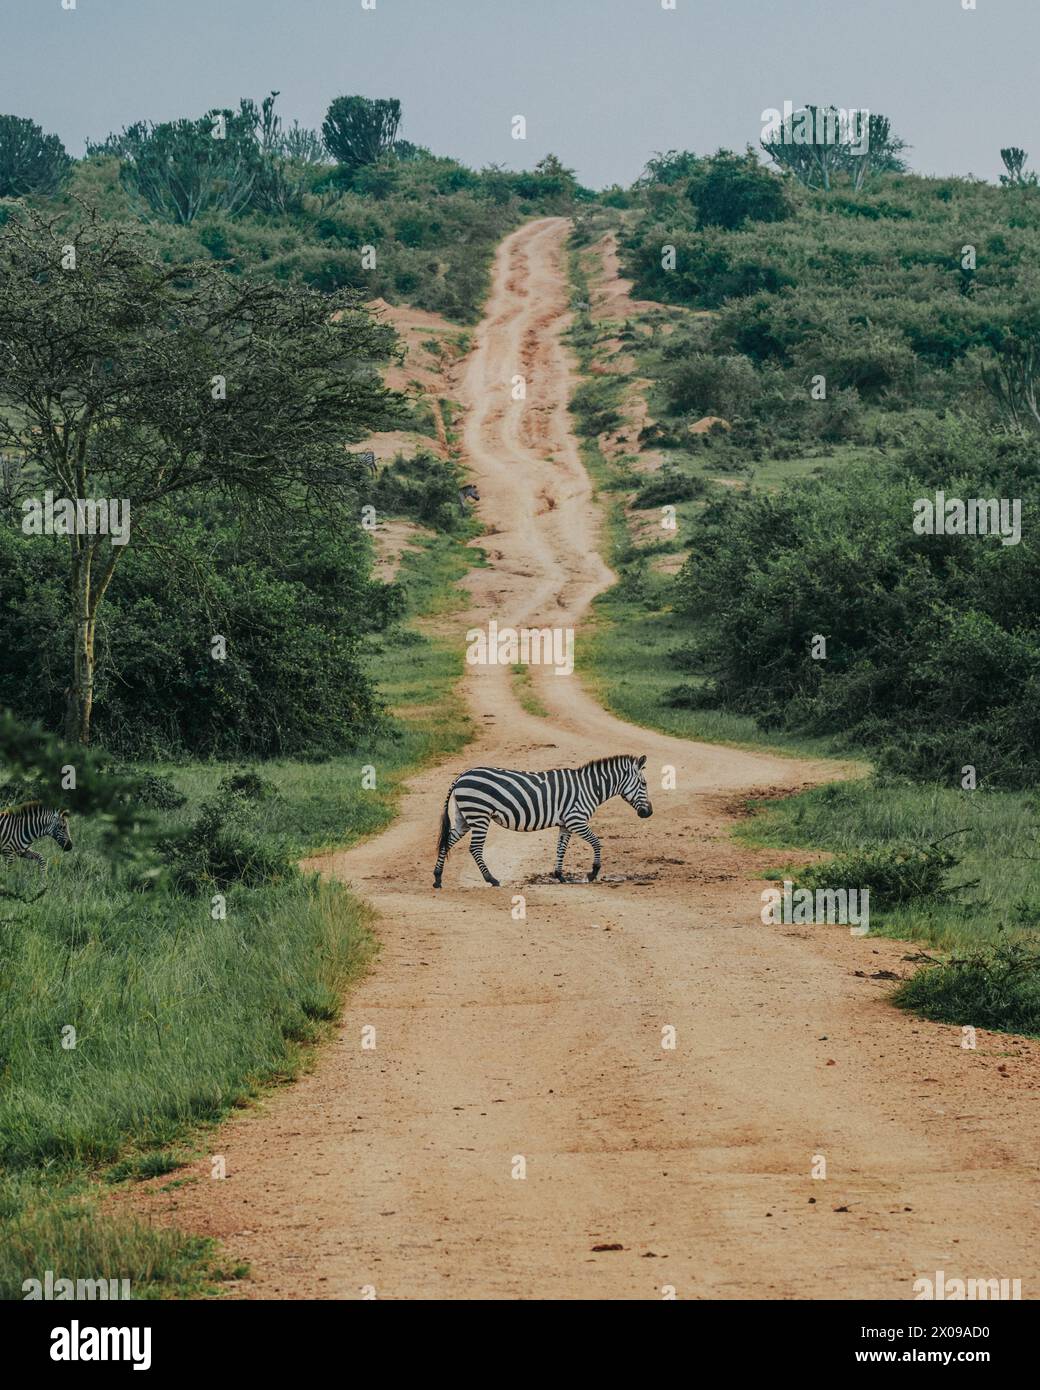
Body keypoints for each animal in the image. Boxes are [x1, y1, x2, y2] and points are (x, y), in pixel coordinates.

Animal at [433, 754, 652, 888]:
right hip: (479, 815)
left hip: (464, 818)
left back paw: (437, 878)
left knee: (447, 841)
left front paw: (560, 875)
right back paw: (491, 879)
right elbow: (597, 842)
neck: (590, 788)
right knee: (475, 848)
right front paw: (592, 873)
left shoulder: (565, 824)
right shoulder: (576, 820)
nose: (649, 813)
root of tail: (461, 776)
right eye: (644, 783)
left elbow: (561, 849)